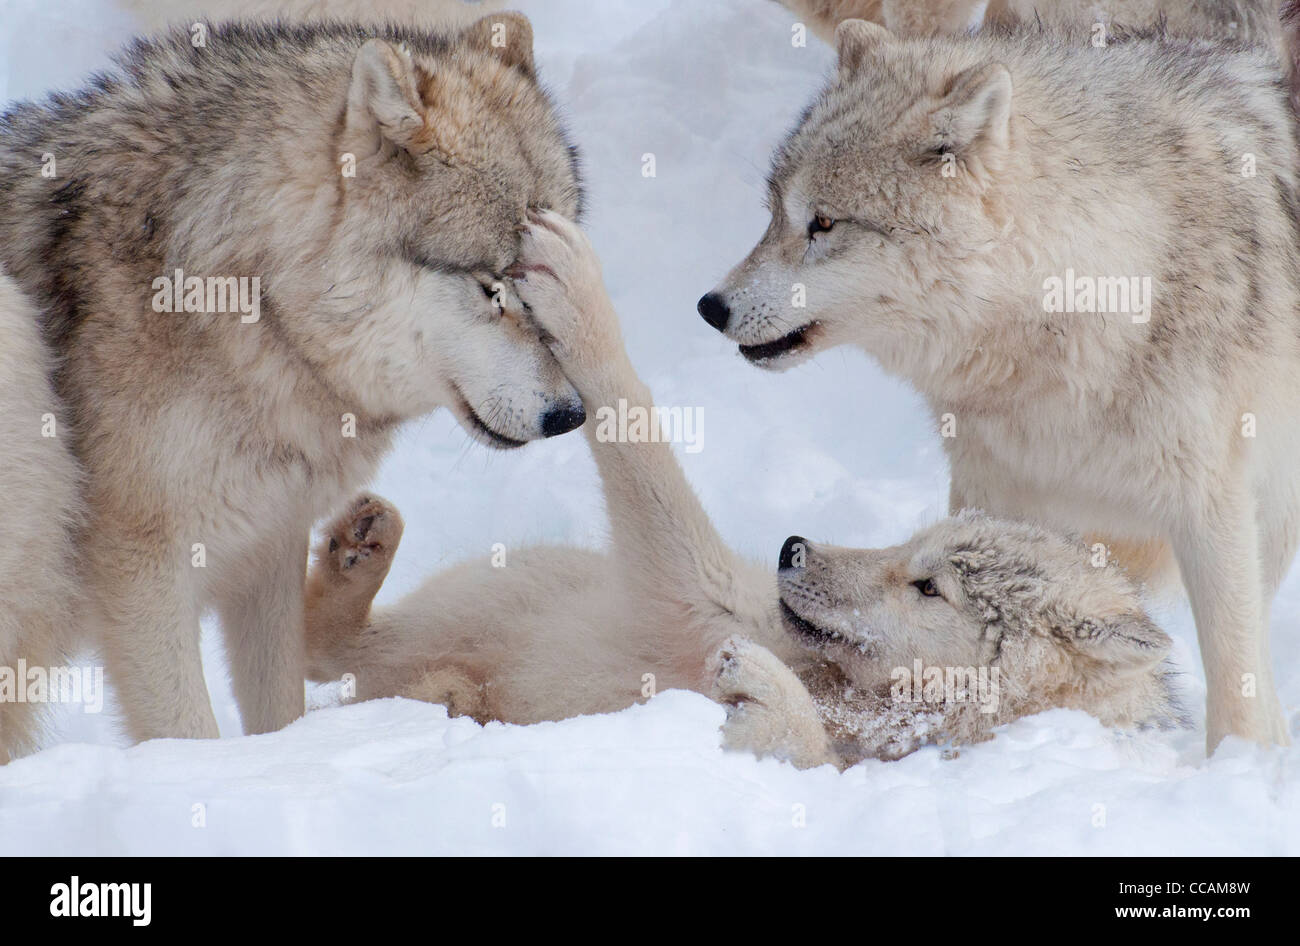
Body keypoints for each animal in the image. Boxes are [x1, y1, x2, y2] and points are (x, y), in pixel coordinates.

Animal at [0, 12, 587, 756]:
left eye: (554, 280)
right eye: (495, 287)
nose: (570, 415)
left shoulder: (266, 550)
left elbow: (279, 714)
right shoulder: (144, 577)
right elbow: (190, 733)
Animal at [298, 211, 1181, 768]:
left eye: (929, 589)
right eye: (909, 545)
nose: (792, 547)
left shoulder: (702, 598)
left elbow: (636, 428)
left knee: (338, 656)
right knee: (337, 651)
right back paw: (360, 550)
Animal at [699, 18, 1299, 751]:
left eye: (824, 223)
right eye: (775, 215)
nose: (710, 307)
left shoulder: (1211, 508)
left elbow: (1237, 689)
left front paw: (1237, 761)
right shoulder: (990, 490)